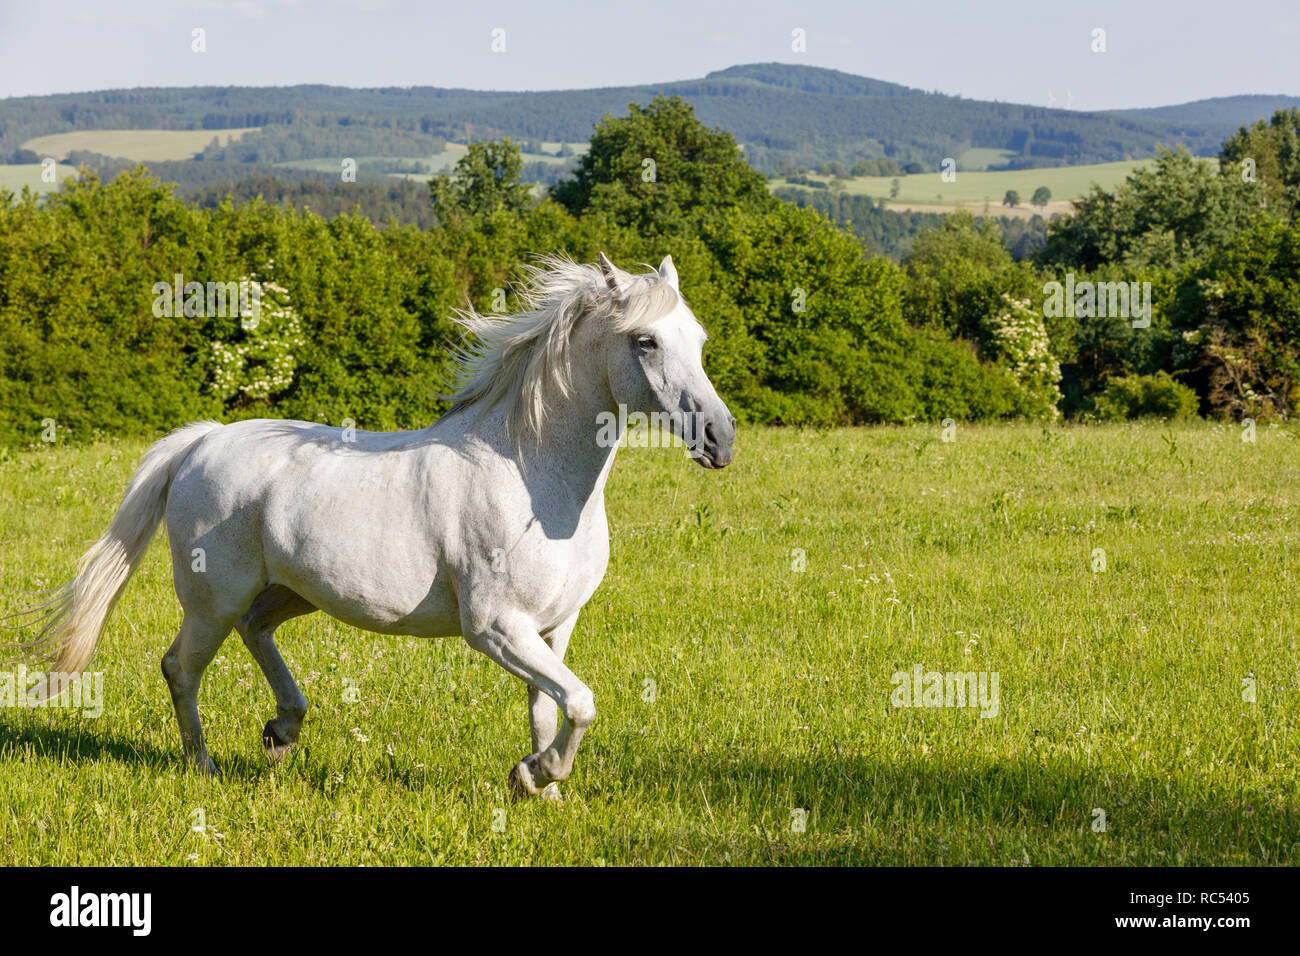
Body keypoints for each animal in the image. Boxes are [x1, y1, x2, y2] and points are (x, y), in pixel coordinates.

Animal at [10, 253, 736, 798]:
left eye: (698, 341)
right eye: (644, 340)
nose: (720, 439)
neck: (533, 477)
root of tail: (204, 441)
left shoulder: (553, 627)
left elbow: (548, 705)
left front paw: (540, 788)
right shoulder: (495, 628)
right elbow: (580, 702)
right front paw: (536, 777)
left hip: (291, 591)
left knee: (255, 632)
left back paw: (282, 730)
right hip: (213, 599)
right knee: (181, 668)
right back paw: (206, 766)